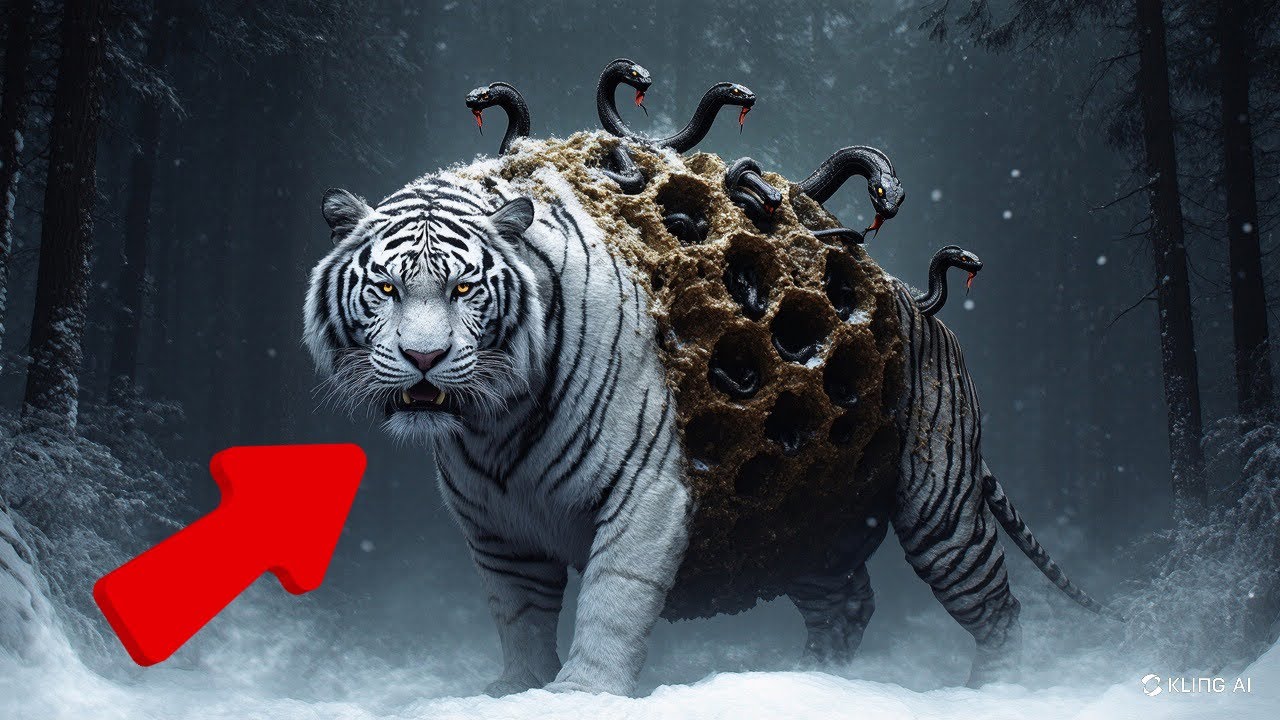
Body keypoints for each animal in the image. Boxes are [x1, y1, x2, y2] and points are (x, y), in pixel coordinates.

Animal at [303, 151, 1114, 697]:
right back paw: (811, 682)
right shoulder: (494, 528)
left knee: (997, 604)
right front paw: (517, 688)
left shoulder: (644, 491)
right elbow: (519, 612)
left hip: (939, 509)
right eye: (385, 288)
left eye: (466, 288)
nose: (425, 358)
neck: (492, 425)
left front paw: (581, 693)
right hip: (810, 509)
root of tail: (920, 307)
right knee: (849, 600)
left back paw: (993, 690)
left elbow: (613, 598)